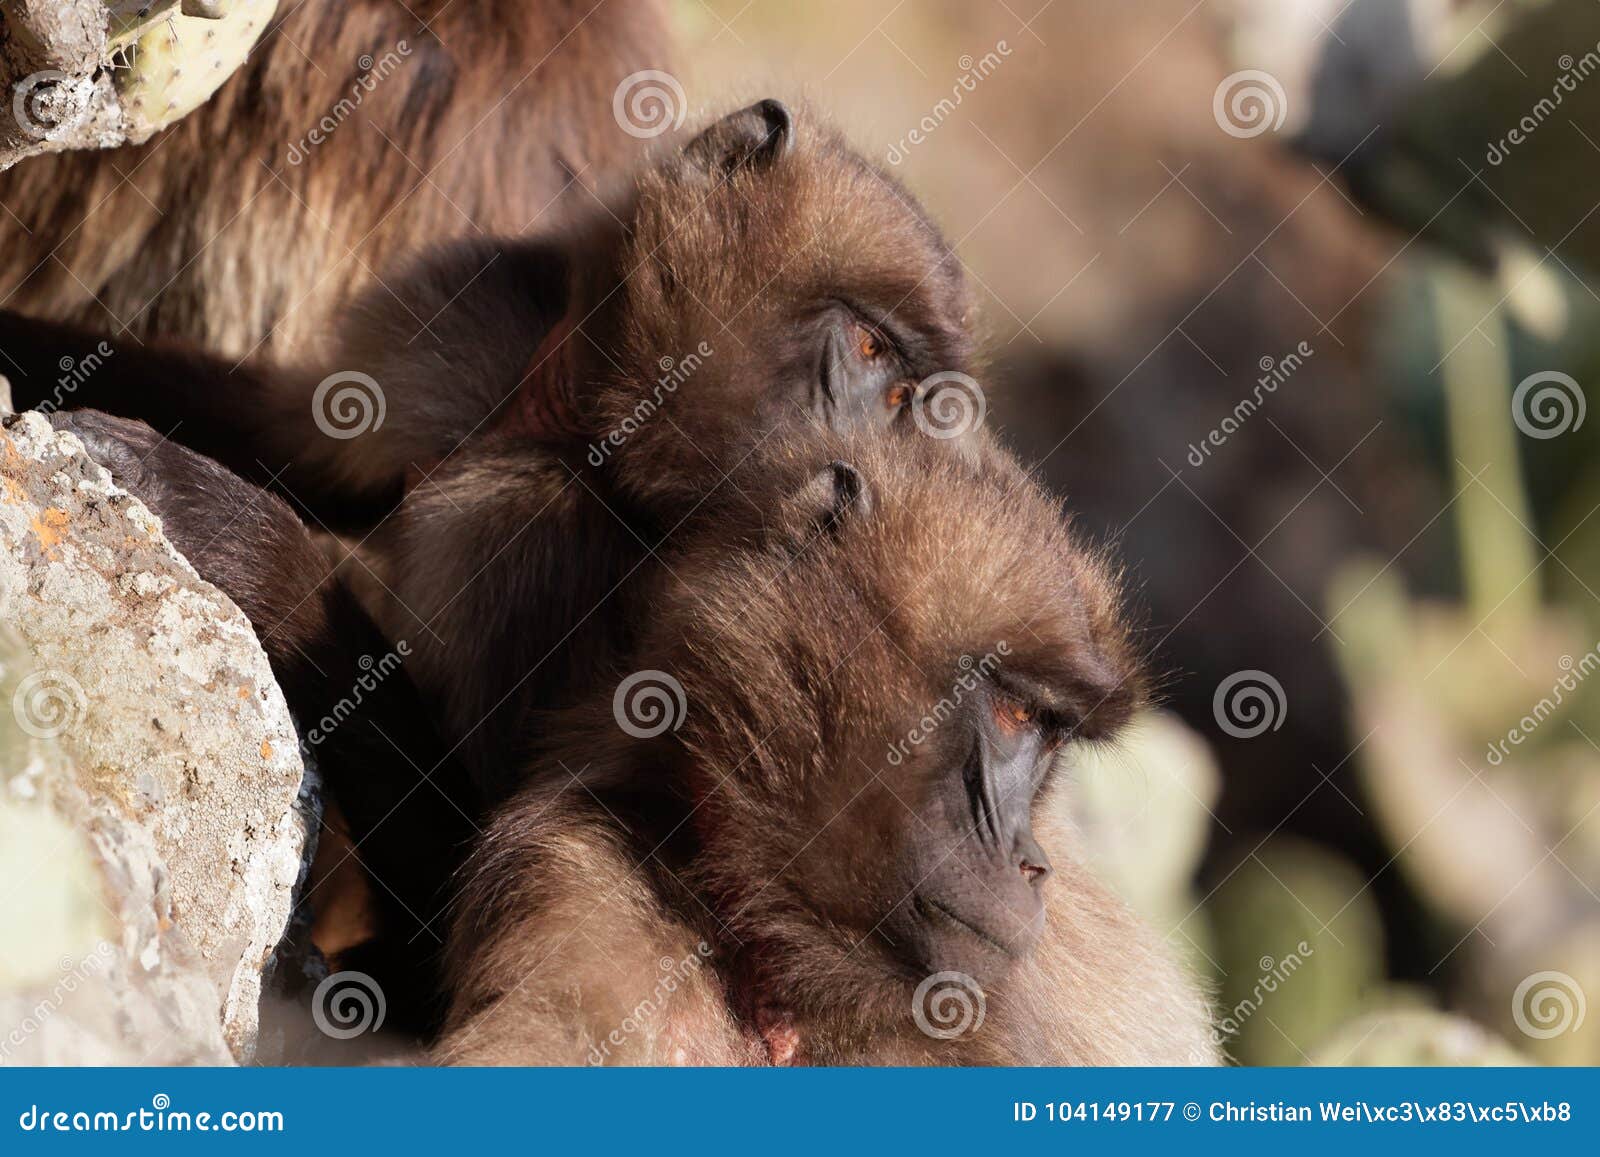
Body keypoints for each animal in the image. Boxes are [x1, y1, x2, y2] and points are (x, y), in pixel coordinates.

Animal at [0, 97, 981, 806]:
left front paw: (229, 529)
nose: (863, 458)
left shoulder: (534, 527)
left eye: (903, 400)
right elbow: (300, 449)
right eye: (870, 350)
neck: (577, 437)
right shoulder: (472, 318)